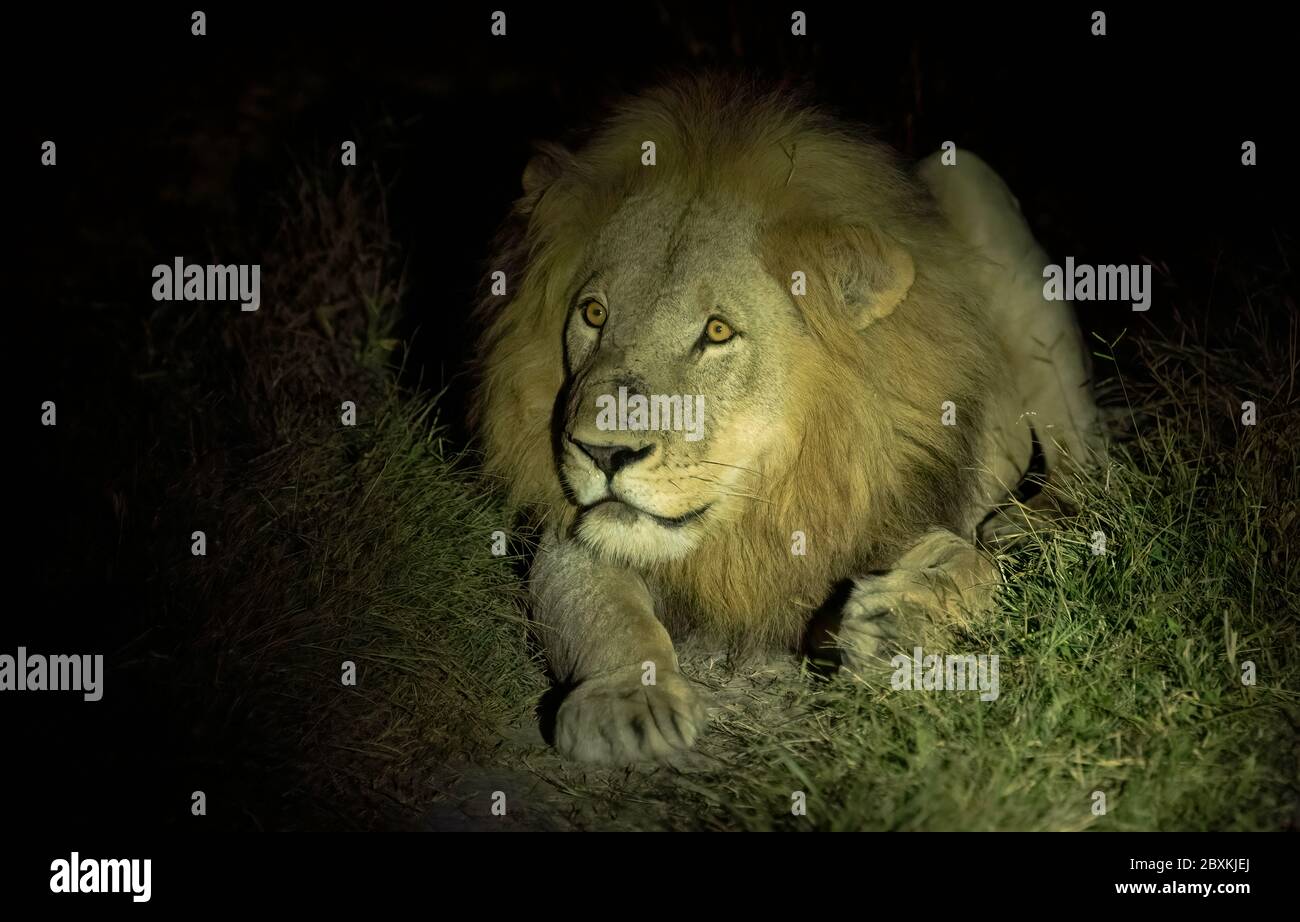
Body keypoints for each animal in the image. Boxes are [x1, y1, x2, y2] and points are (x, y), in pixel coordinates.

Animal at [472, 76, 1101, 764]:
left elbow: (971, 568)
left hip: (976, 189)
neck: (761, 501)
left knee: (1089, 455)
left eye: (718, 332)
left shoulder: (896, 504)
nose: (604, 453)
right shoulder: (573, 533)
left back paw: (1036, 523)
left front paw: (894, 626)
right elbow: (599, 602)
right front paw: (627, 700)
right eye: (592, 315)